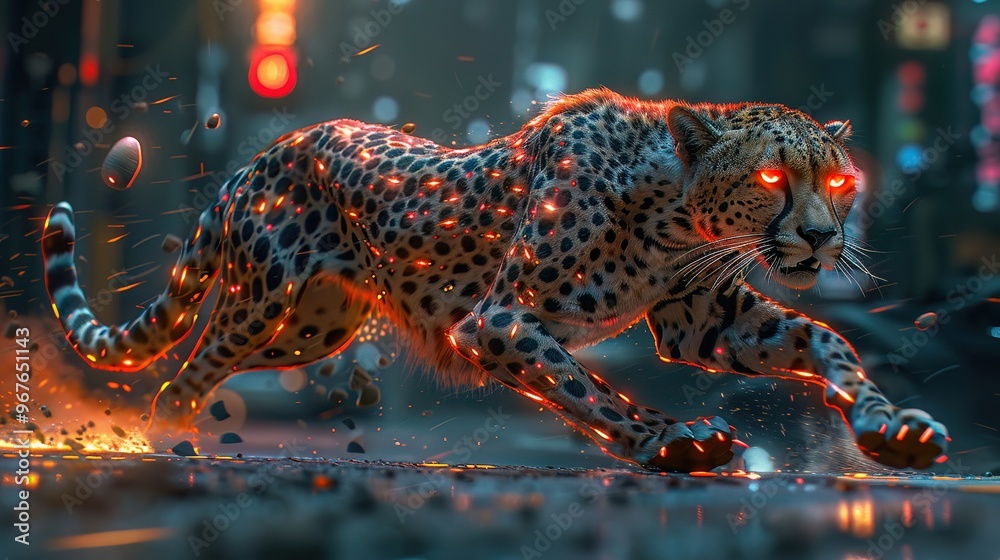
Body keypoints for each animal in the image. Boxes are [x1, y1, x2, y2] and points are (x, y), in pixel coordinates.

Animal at [42, 88, 949, 472]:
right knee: (190, 366)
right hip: (262, 303)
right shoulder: (497, 321)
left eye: (839, 181)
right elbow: (586, 388)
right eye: (769, 179)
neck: (674, 212)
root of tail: (265, 151)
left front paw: (890, 429)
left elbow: (826, 341)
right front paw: (671, 441)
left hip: (311, 328)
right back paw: (170, 435)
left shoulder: (705, 321)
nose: (822, 237)